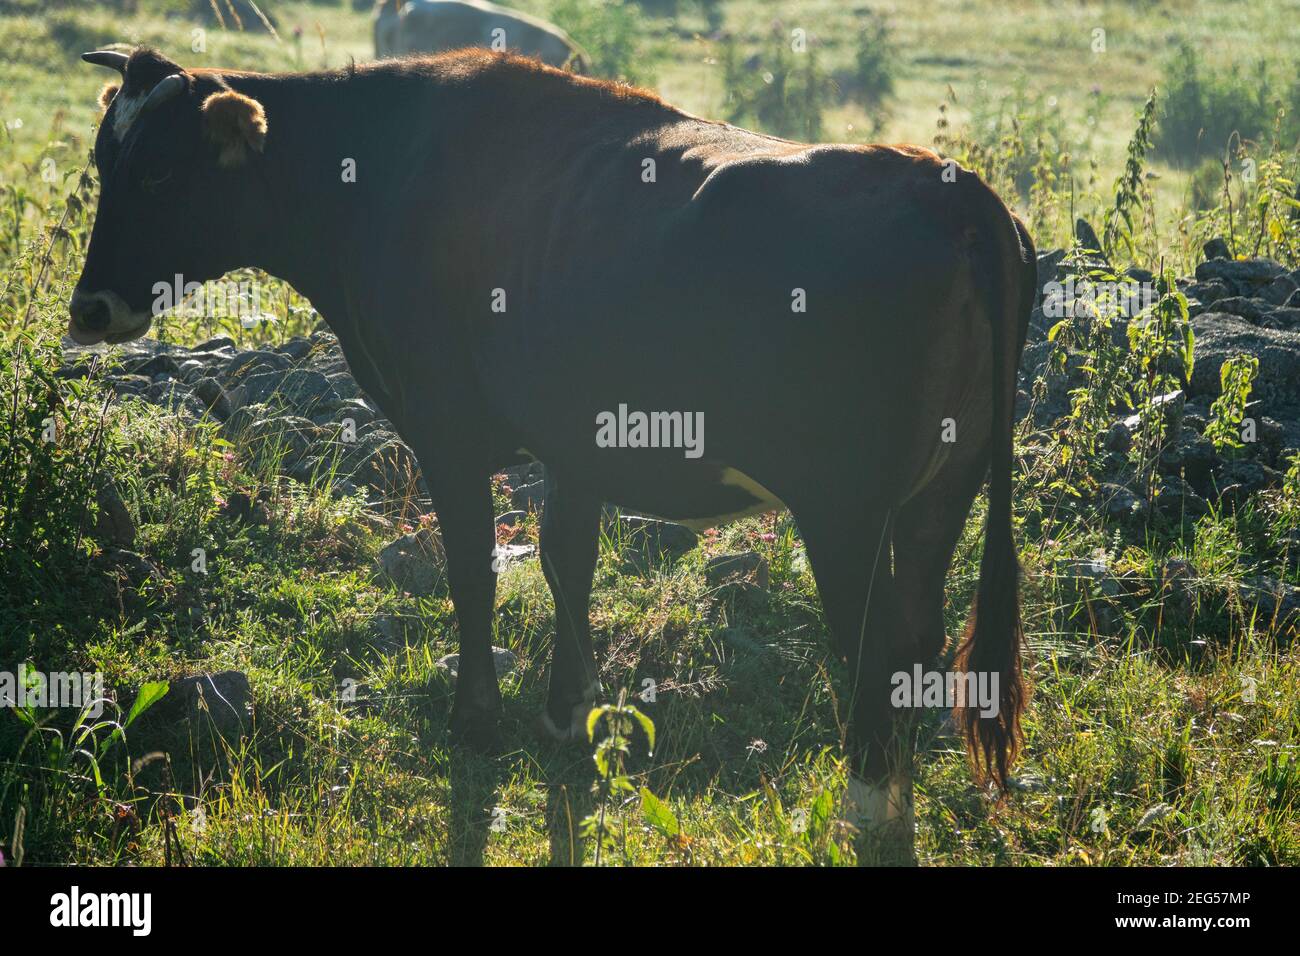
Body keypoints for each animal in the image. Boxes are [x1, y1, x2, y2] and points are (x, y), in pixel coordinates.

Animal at [72, 46, 1034, 863]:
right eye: (104, 165)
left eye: (159, 171)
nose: (90, 309)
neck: (374, 172)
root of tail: (942, 185)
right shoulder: (578, 442)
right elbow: (566, 560)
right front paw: (569, 717)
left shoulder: (448, 429)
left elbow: (474, 572)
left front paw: (475, 723)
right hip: (941, 494)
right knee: (918, 638)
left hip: (844, 509)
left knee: (874, 650)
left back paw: (865, 812)